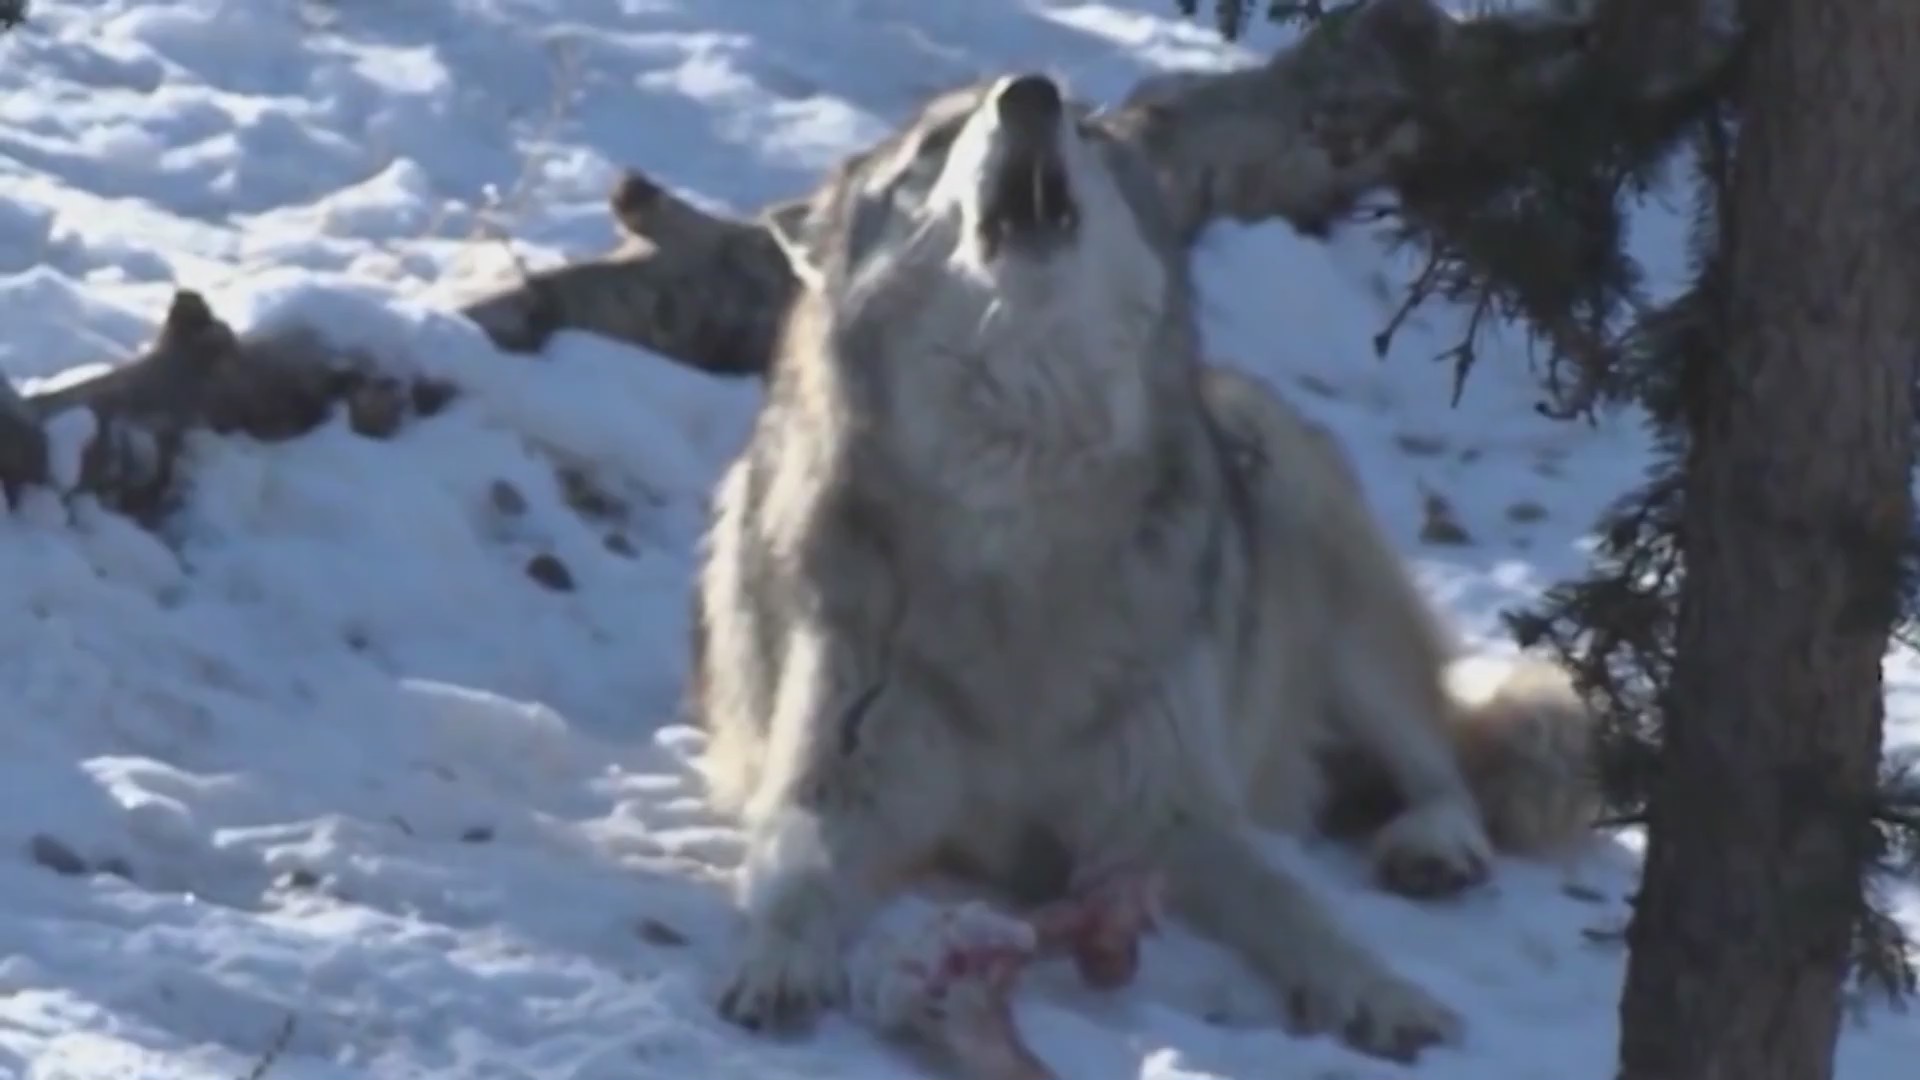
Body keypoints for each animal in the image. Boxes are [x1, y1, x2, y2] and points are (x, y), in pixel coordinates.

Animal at [686, 72, 1597, 1062]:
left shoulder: (1174, 815)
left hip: (1328, 586)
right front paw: (775, 966)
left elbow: (1302, 911)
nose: (1031, 94)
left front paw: (1381, 991)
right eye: (937, 139)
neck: (1020, 514)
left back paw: (1435, 845)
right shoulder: (832, 793)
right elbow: (795, 883)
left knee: (1444, 766)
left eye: (1085, 129)